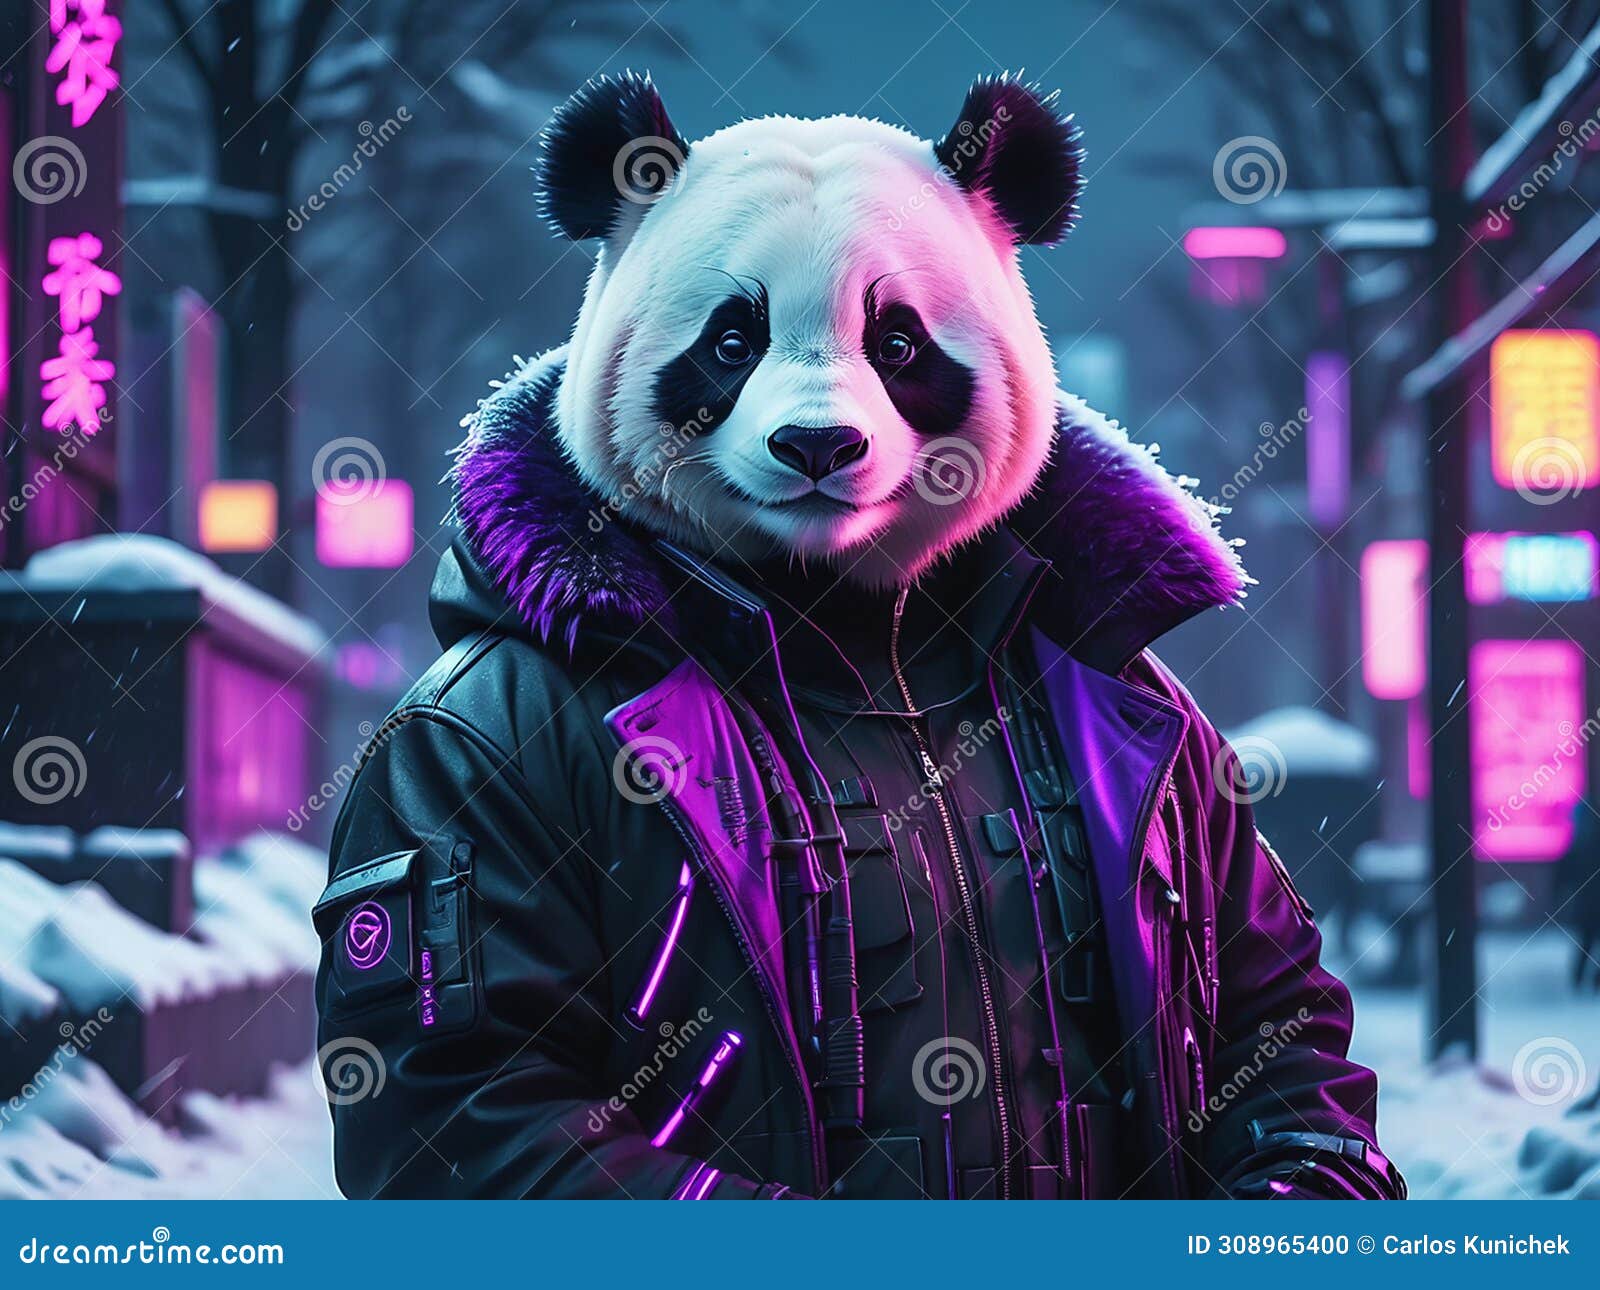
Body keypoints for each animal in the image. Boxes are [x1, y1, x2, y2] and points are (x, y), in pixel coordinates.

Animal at [317, 72, 1401, 1203]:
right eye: (731, 341)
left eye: (898, 342)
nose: (817, 444)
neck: (850, 617)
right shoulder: (467, 753)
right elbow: (485, 1075)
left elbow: (1273, 991)